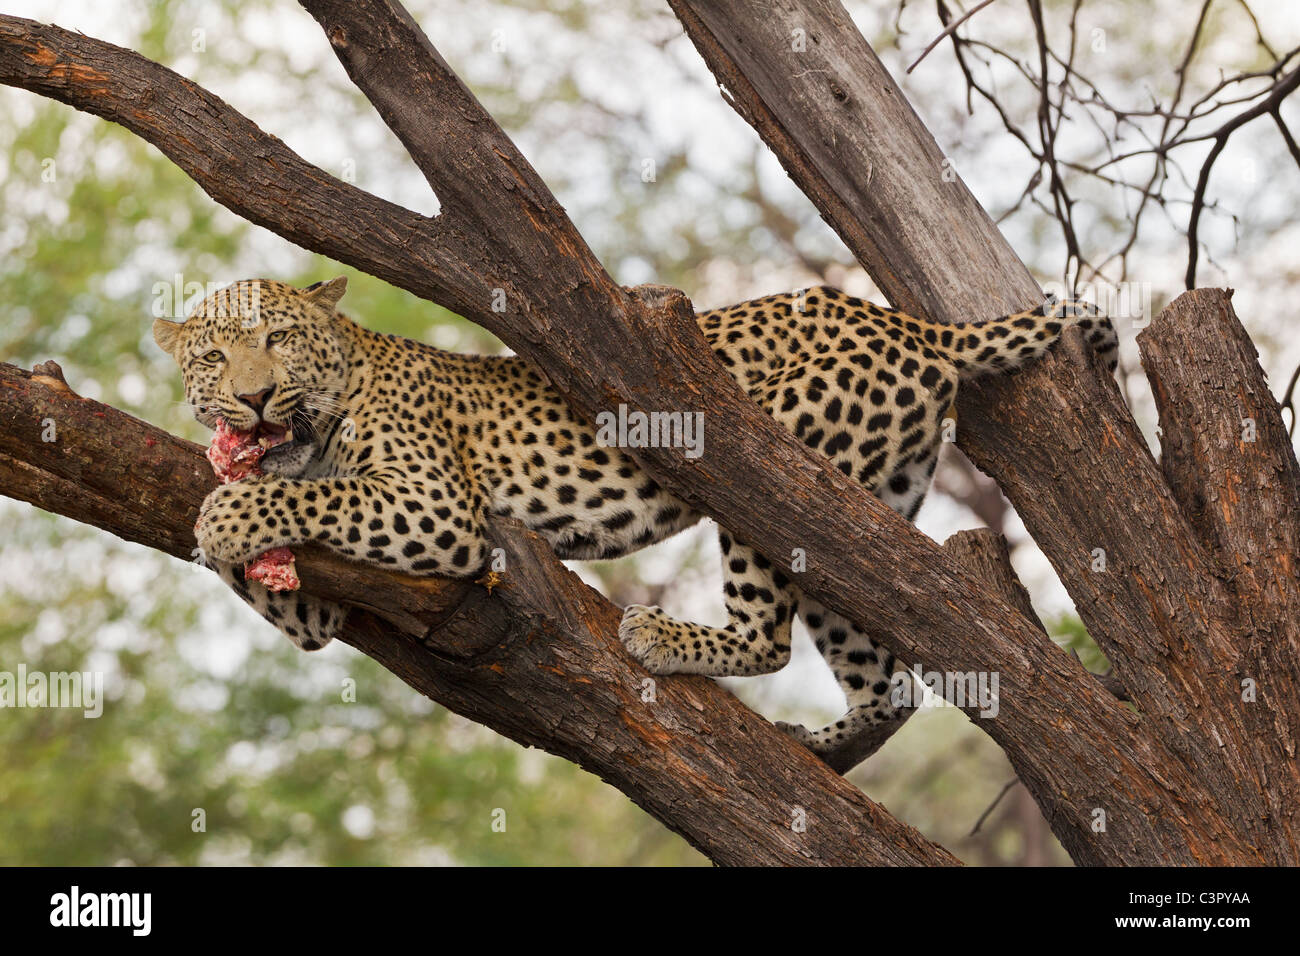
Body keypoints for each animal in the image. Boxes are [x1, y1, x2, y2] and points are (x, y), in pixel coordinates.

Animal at [153, 276, 1117, 756]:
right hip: (862, 504)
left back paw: (664, 637)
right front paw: (227, 527)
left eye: (277, 340)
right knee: (891, 686)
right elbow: (294, 592)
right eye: (214, 357)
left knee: (769, 638)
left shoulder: (436, 506)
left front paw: (225, 514)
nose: (254, 397)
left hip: (773, 468)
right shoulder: (320, 607)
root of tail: (917, 325)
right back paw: (825, 746)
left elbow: (315, 494)